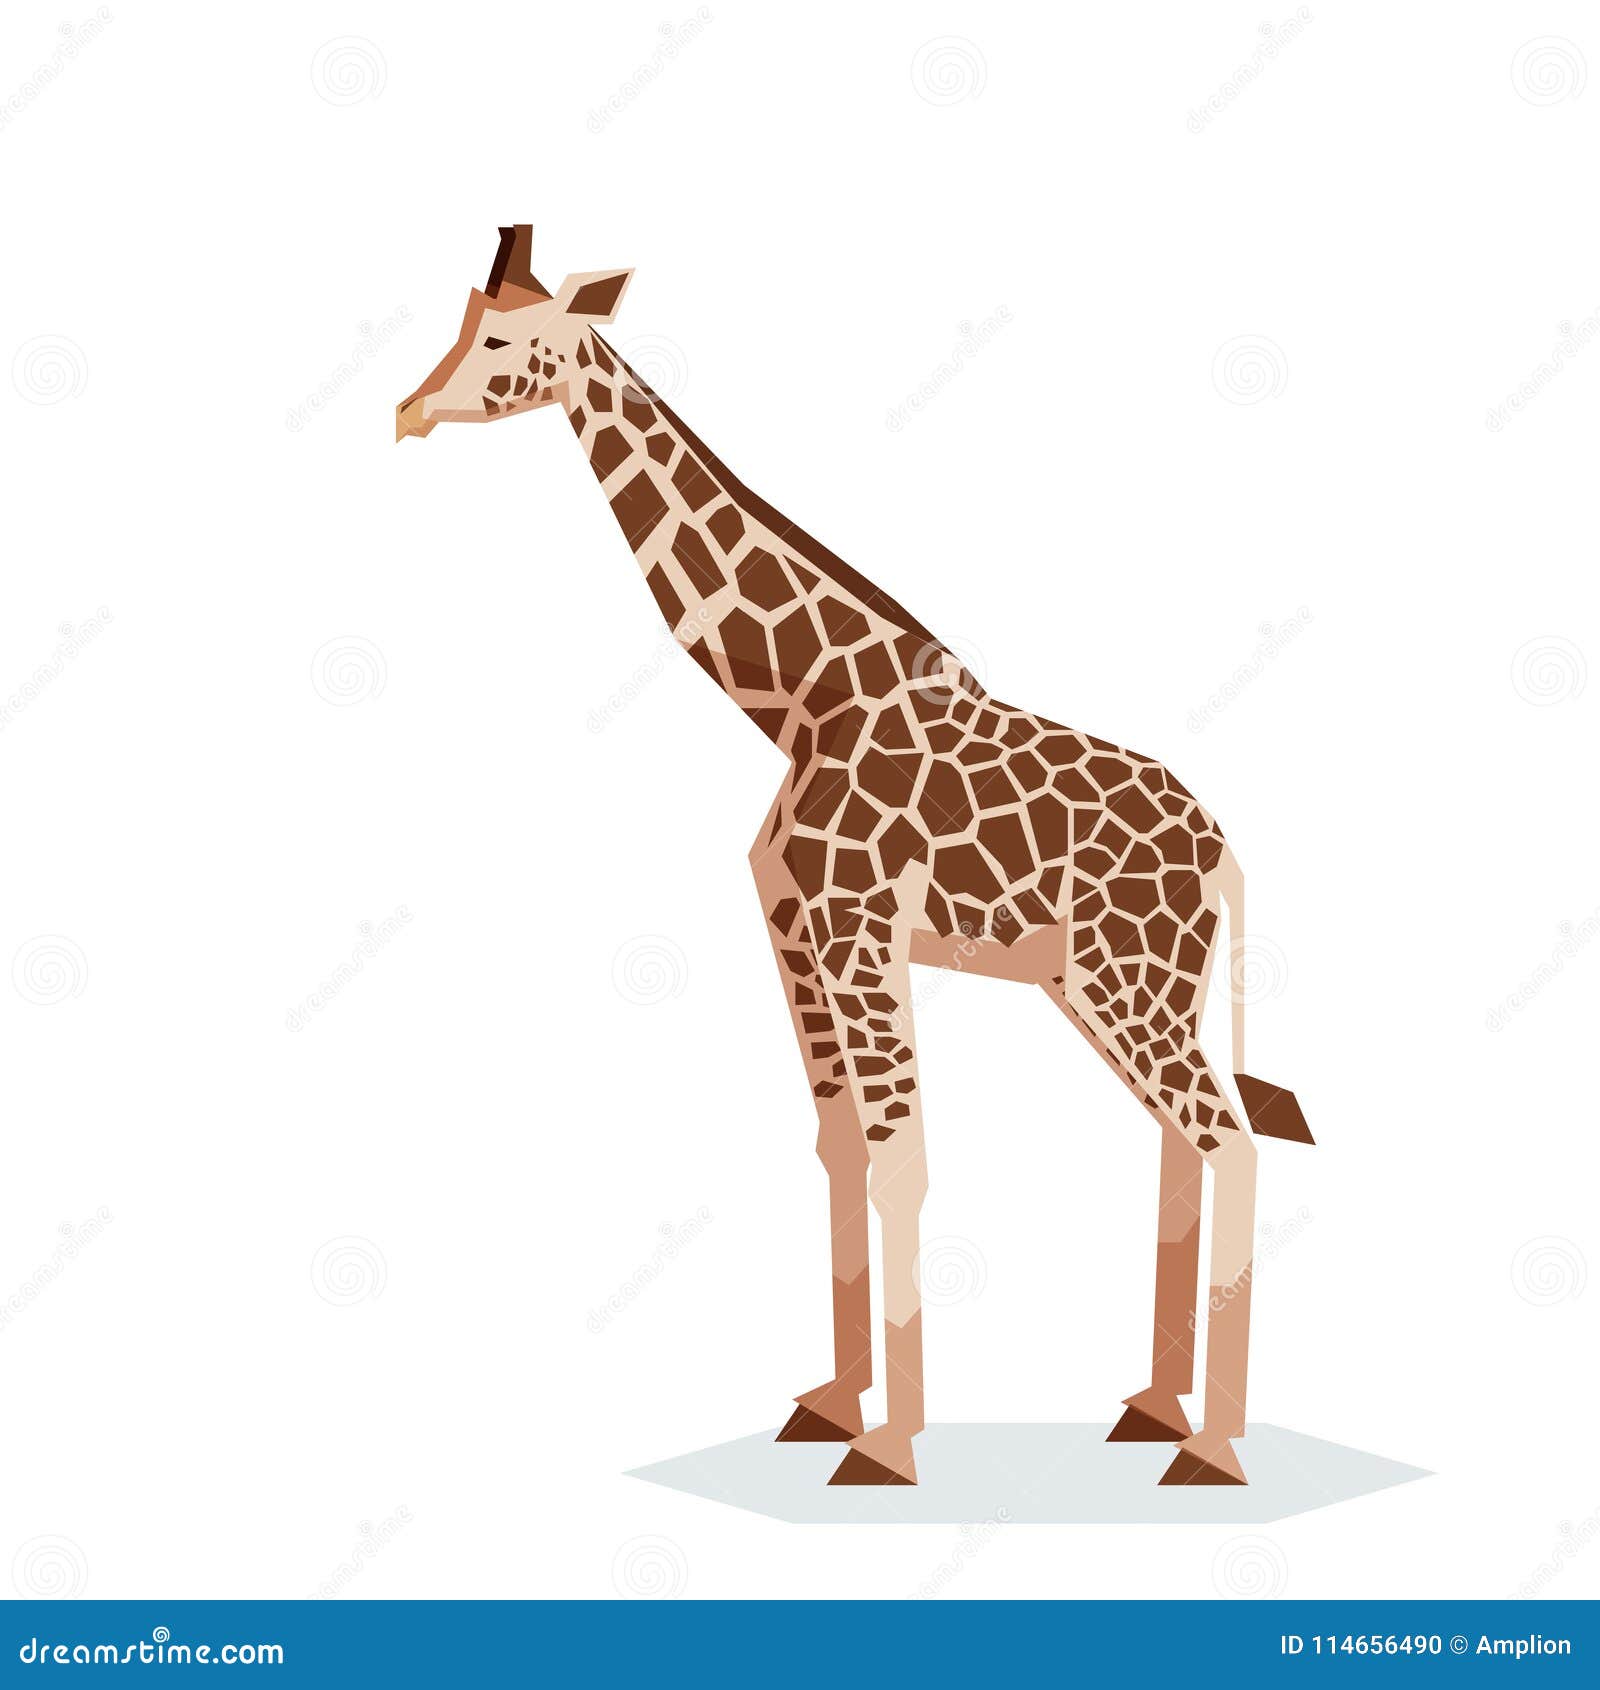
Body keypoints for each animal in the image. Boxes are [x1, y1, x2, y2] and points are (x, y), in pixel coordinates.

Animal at [396, 227, 1313, 1488]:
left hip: (1131, 981)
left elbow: (898, 1158)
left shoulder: (859, 930)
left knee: (1228, 1136)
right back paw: (1152, 1406)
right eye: (458, 318)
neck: (795, 701)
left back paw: (1212, 1447)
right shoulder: (796, 933)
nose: (408, 414)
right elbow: (837, 1148)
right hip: (1102, 984)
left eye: (502, 338)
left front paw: (888, 1444)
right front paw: (834, 1403)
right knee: (1184, 1137)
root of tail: (1222, 848)